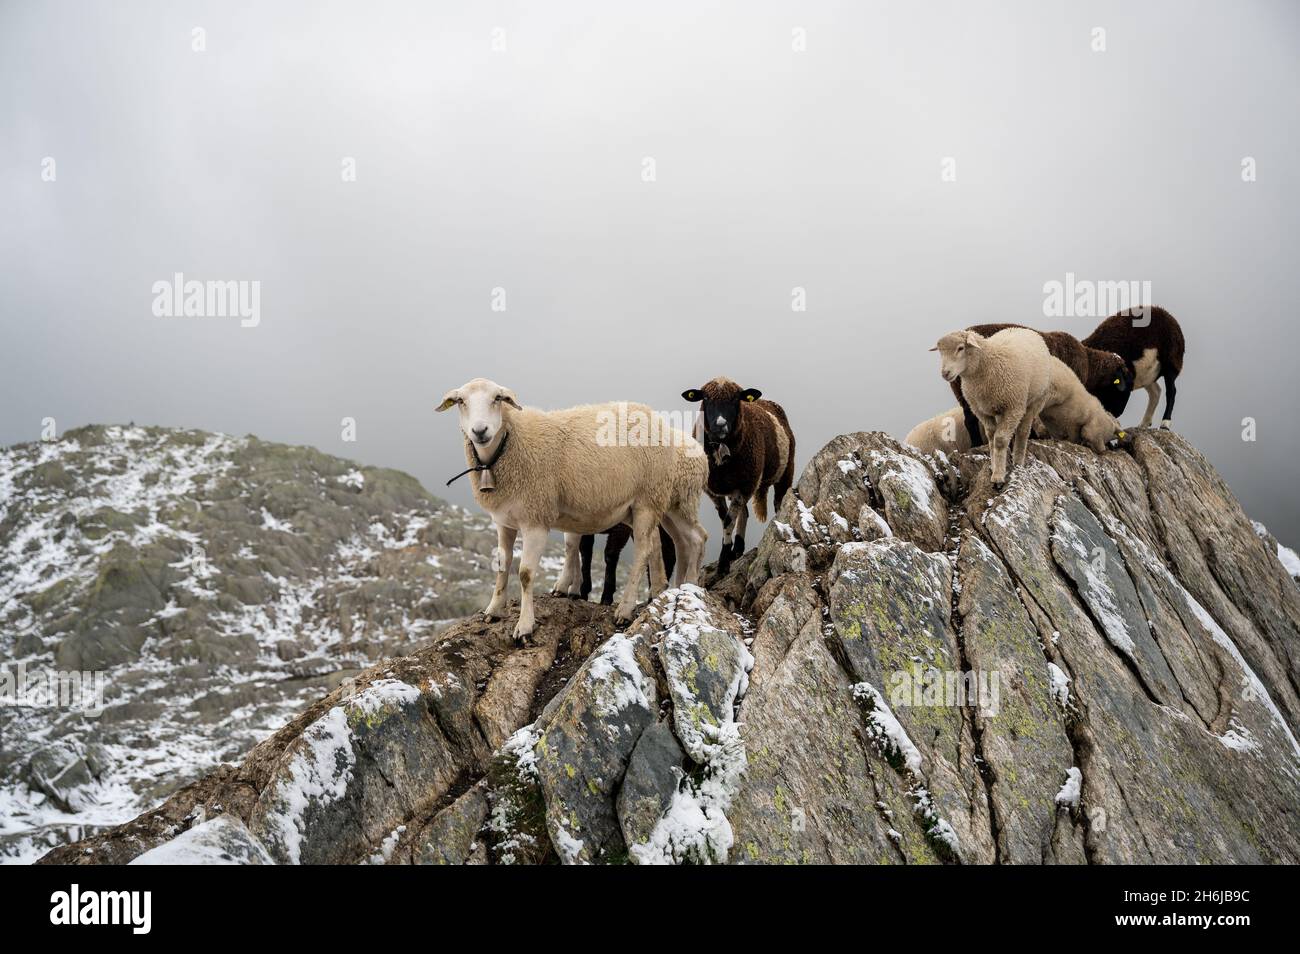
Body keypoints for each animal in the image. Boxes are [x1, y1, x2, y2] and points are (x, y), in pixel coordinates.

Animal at [437, 378, 708, 642]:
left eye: (497, 398)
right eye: (461, 401)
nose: (480, 431)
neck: (508, 445)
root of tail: (654, 416)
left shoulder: (536, 518)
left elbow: (525, 573)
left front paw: (524, 625)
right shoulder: (504, 521)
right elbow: (503, 563)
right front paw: (493, 610)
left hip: (649, 499)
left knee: (645, 549)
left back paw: (627, 608)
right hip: (660, 504)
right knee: (686, 539)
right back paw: (674, 588)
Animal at [682, 378, 796, 574]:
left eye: (736, 399)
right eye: (705, 398)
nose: (720, 425)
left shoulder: (744, 485)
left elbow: (728, 521)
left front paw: (723, 564)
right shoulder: (713, 490)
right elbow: (724, 518)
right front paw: (728, 555)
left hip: (783, 473)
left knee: (779, 503)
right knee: (744, 512)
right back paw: (738, 548)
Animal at [931, 327, 1052, 489]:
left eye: (960, 348)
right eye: (940, 352)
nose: (945, 373)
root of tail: (1022, 329)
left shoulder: (1013, 407)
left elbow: (999, 440)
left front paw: (998, 477)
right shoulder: (981, 411)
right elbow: (991, 437)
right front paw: (995, 467)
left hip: (1034, 401)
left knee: (1023, 432)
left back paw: (1018, 461)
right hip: (999, 409)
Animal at [948, 323, 1133, 446]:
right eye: (1121, 389)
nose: (1118, 413)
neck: (1089, 362)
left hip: (966, 396)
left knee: (970, 420)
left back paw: (977, 445)